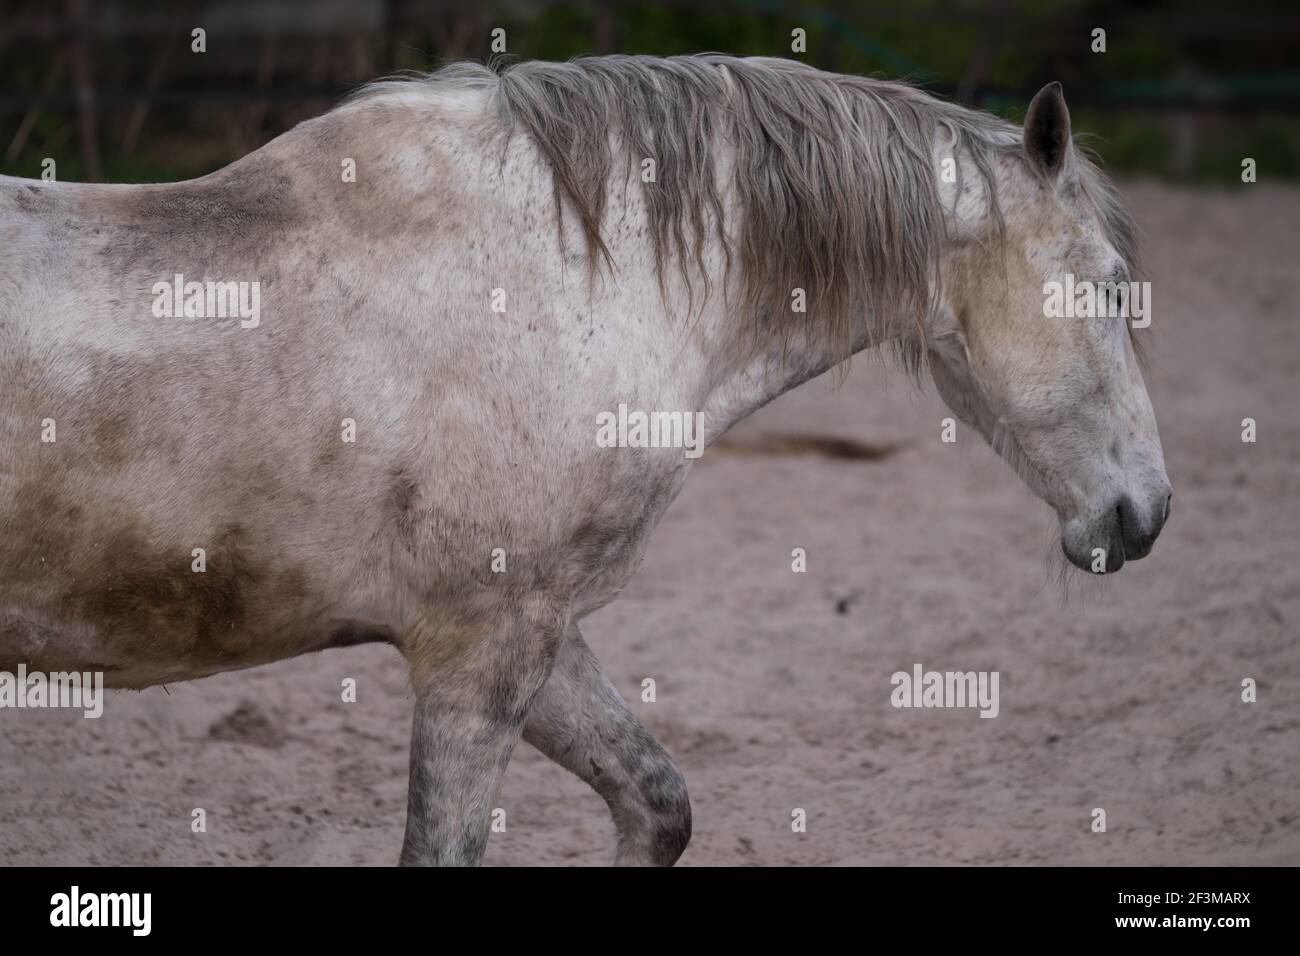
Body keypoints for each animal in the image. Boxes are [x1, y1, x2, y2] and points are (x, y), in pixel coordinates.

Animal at [0, 54, 1171, 865]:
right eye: (1111, 285)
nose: (1146, 512)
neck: (568, 284)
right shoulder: (478, 650)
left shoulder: (542, 635)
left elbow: (657, 805)